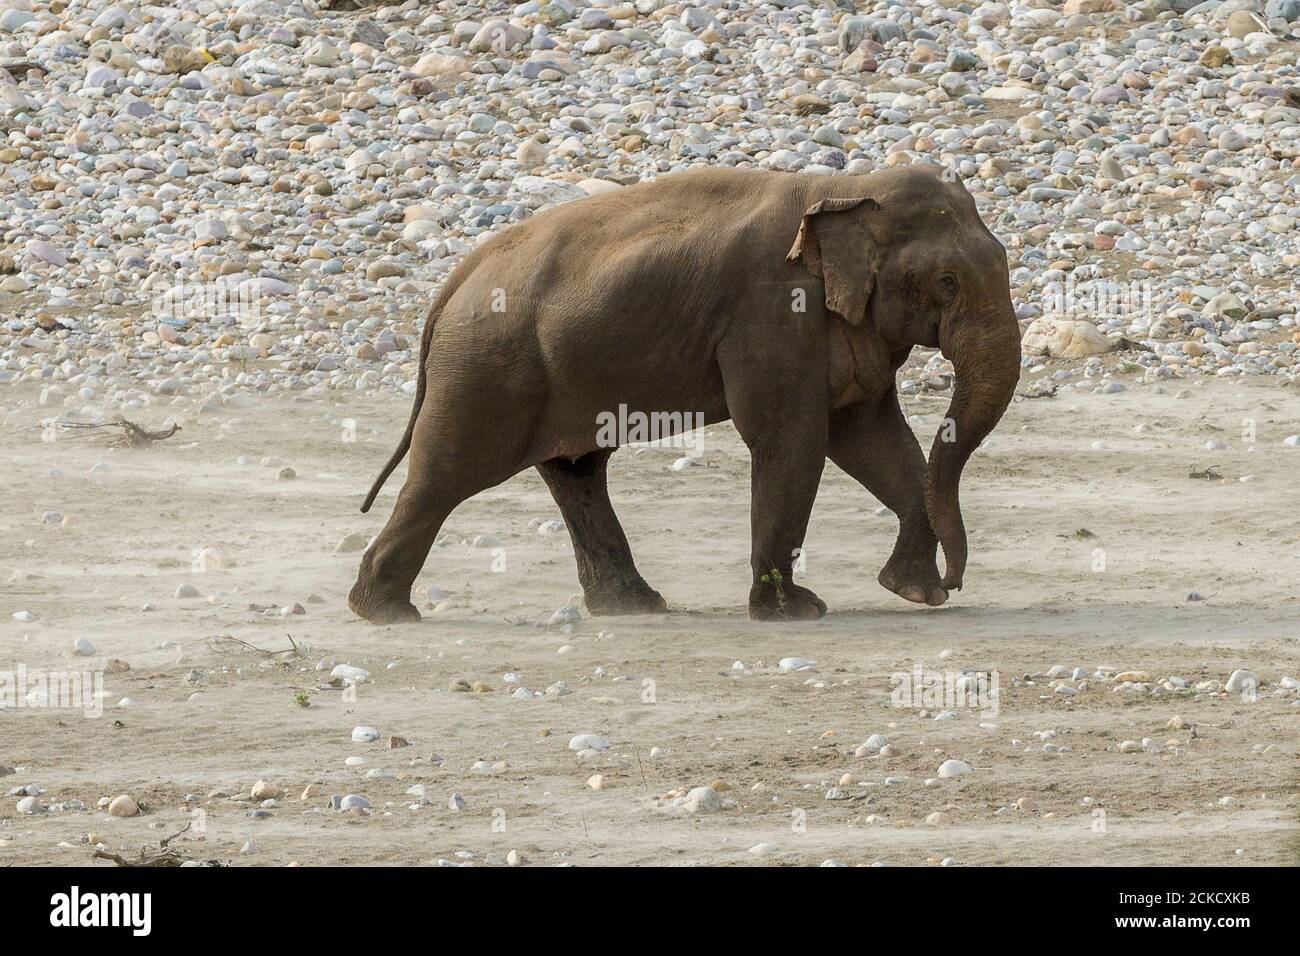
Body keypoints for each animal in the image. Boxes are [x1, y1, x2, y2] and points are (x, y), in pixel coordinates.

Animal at [348, 165, 1022, 625]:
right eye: (946, 281)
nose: (957, 584)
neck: (843, 185)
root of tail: (457, 279)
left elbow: (874, 440)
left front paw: (912, 592)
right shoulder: (772, 315)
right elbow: (793, 441)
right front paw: (795, 611)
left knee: (575, 470)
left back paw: (634, 605)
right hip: (488, 367)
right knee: (447, 472)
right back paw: (383, 611)